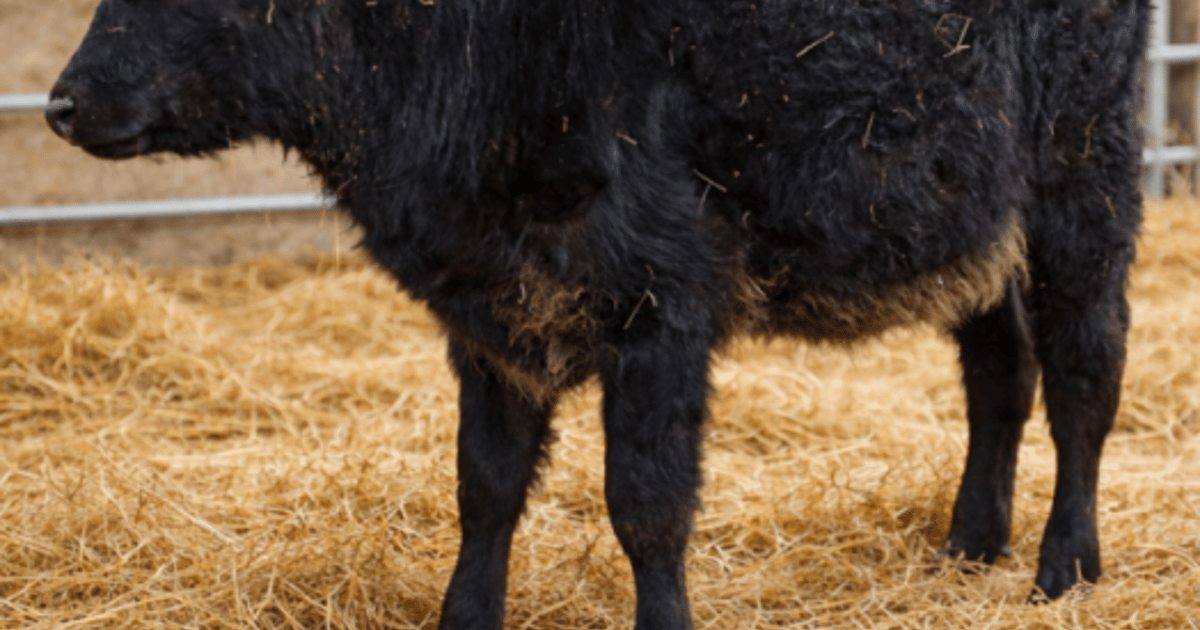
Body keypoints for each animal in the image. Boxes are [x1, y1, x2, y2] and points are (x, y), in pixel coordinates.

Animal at [45, 0, 1149, 628]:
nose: (58, 104)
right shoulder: (492, 315)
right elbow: (485, 488)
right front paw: (465, 617)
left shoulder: (663, 304)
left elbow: (647, 506)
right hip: (967, 210)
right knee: (1001, 368)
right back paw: (971, 544)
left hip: (1082, 173)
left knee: (1085, 376)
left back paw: (1064, 565)